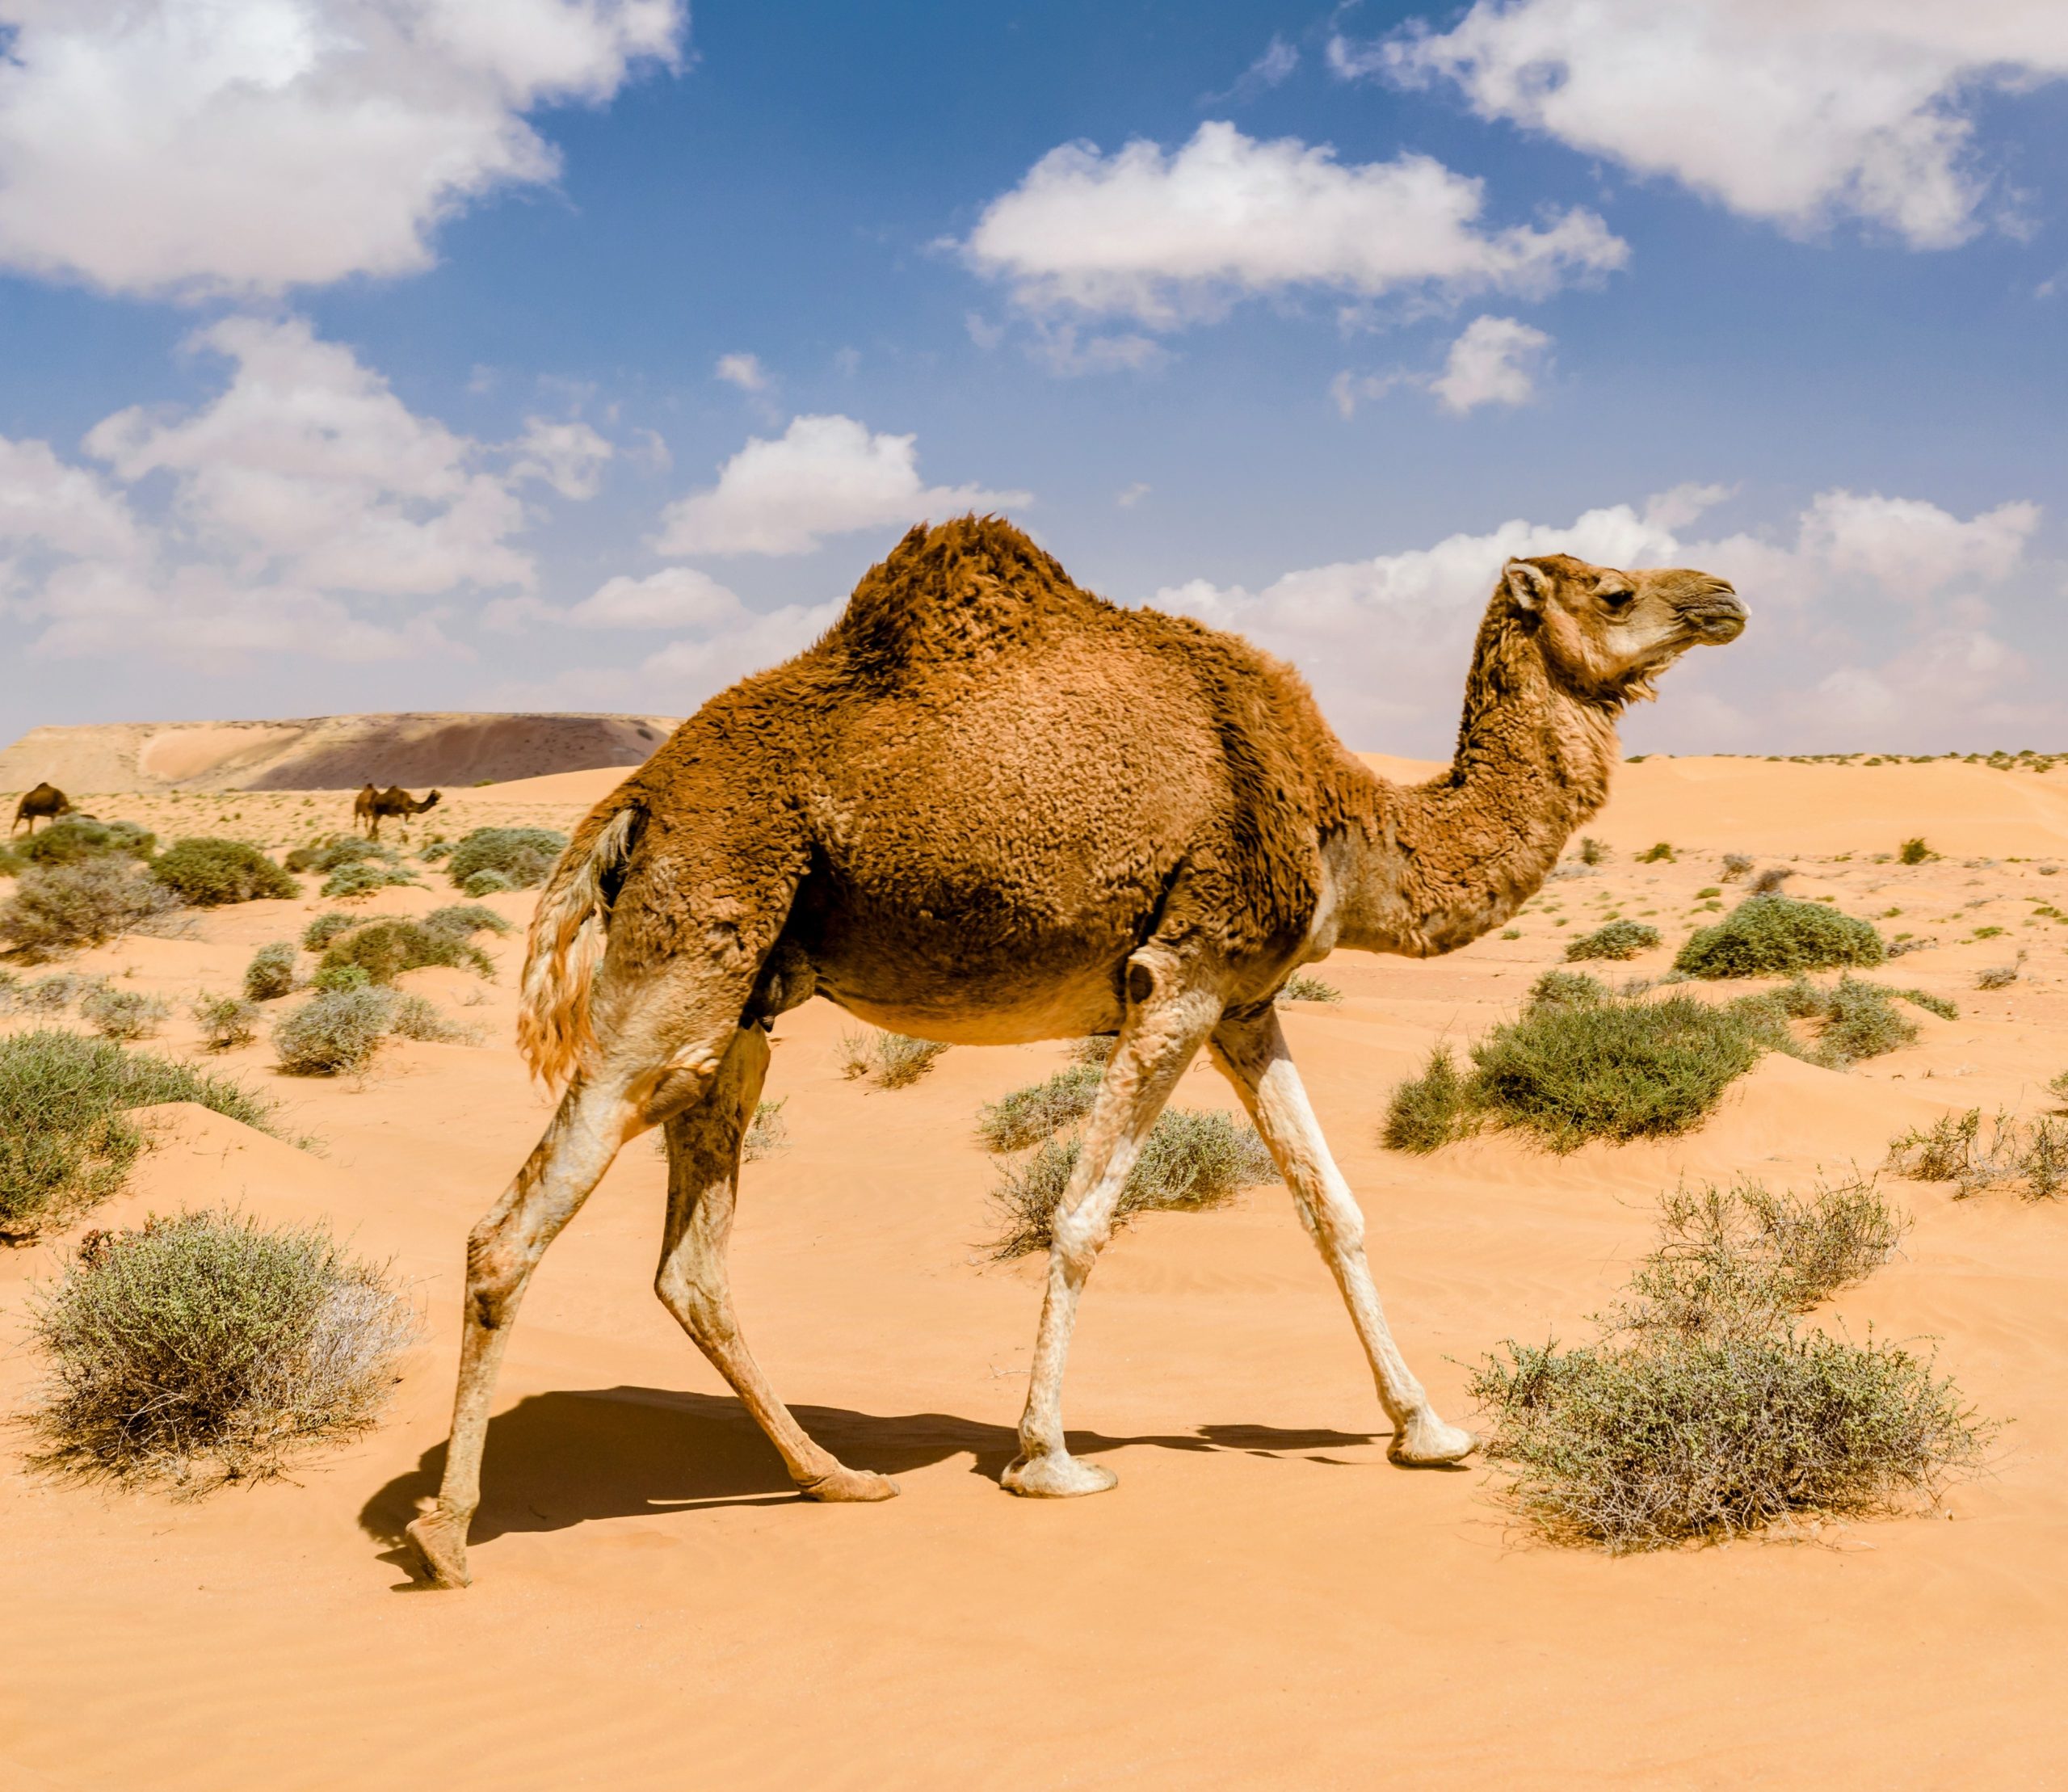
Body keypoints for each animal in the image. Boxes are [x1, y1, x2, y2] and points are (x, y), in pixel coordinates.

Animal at [405, 515, 1746, 1587]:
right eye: (1614, 589)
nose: (1727, 596)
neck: (1344, 819)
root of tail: (637, 791)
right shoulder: (1178, 971)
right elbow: (1085, 1214)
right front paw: (1047, 1458)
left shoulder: (1248, 1002)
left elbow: (1334, 1206)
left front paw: (1431, 1428)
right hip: (696, 931)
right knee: (512, 1227)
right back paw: (447, 1536)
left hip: (750, 989)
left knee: (691, 1257)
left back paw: (835, 1475)